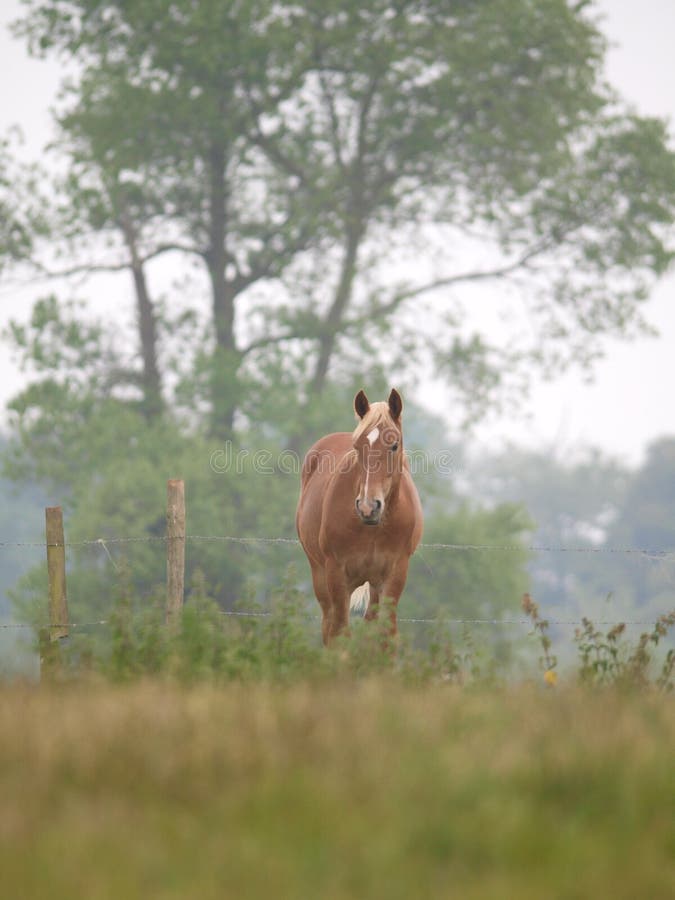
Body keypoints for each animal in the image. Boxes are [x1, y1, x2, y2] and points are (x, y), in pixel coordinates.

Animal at [296, 388, 423, 645]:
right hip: (320, 574)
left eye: (394, 445)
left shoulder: (395, 574)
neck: (373, 528)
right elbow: (339, 634)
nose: (368, 507)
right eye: (357, 447)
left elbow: (384, 635)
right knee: (329, 625)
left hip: (373, 584)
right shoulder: (337, 574)